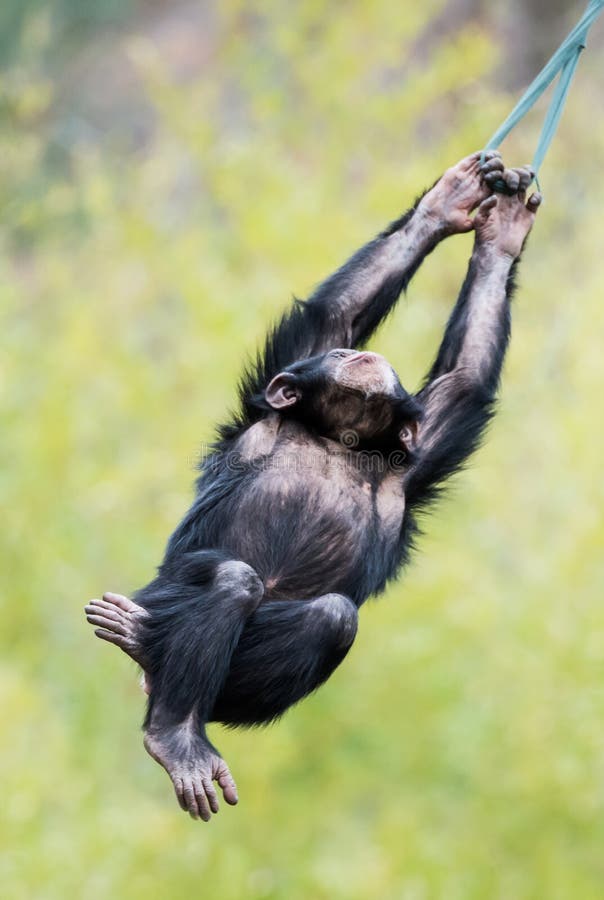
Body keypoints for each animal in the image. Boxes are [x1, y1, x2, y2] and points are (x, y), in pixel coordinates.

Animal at [85, 152, 540, 820]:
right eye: (340, 356)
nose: (360, 356)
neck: (339, 433)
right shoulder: (278, 393)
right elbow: (336, 313)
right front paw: (440, 208)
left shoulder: (419, 446)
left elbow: (465, 375)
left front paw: (495, 231)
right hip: (162, 594)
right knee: (233, 580)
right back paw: (173, 728)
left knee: (331, 619)